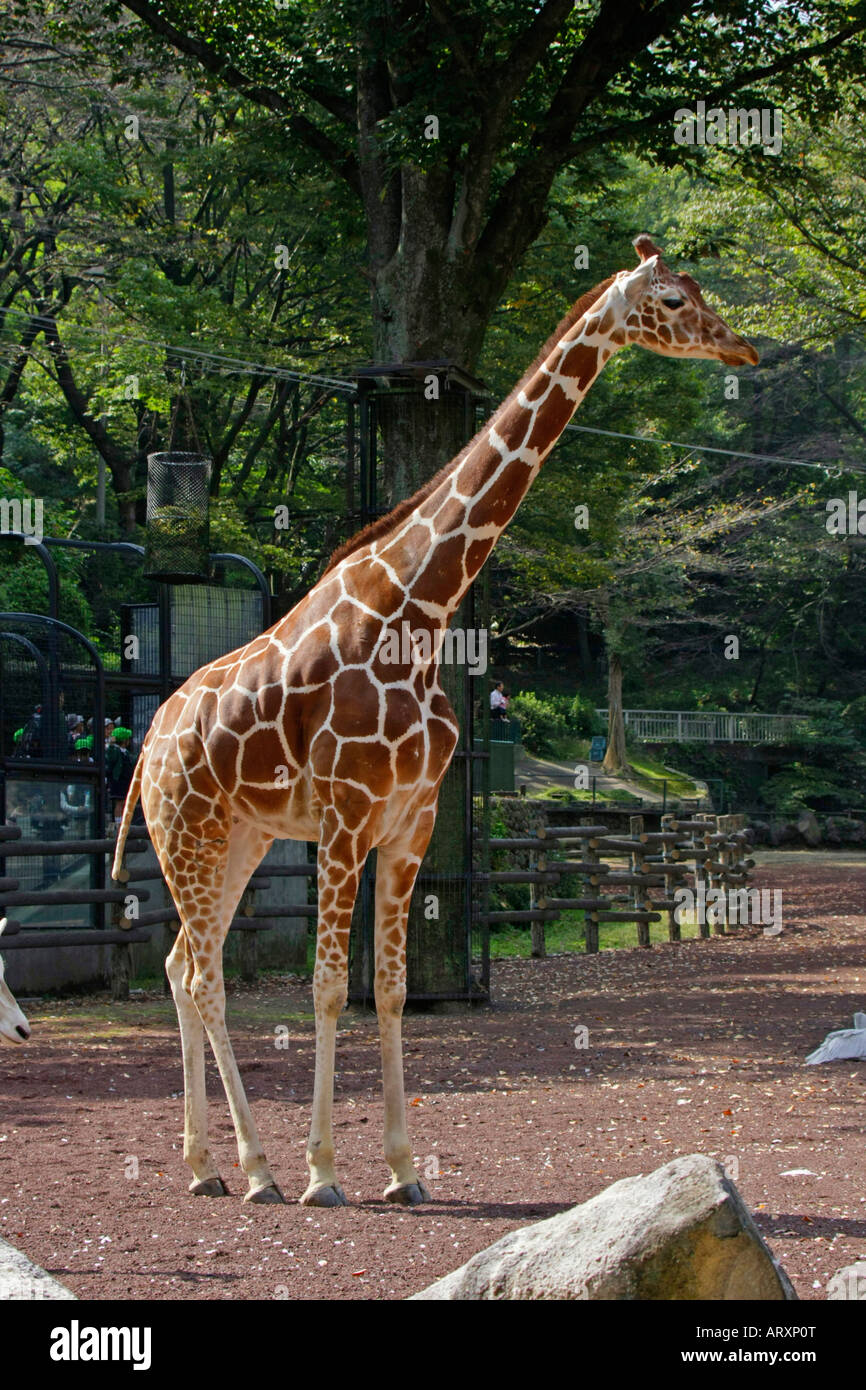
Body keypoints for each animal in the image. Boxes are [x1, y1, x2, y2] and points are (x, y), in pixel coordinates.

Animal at [113, 236, 750, 1206]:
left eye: (698, 291)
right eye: (674, 300)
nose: (740, 349)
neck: (419, 611)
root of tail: (149, 742)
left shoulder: (411, 820)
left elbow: (390, 988)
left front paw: (404, 1170)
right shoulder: (346, 816)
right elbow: (327, 988)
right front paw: (323, 1172)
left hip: (241, 839)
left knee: (184, 966)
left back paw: (210, 1167)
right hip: (186, 830)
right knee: (206, 976)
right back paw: (258, 1172)